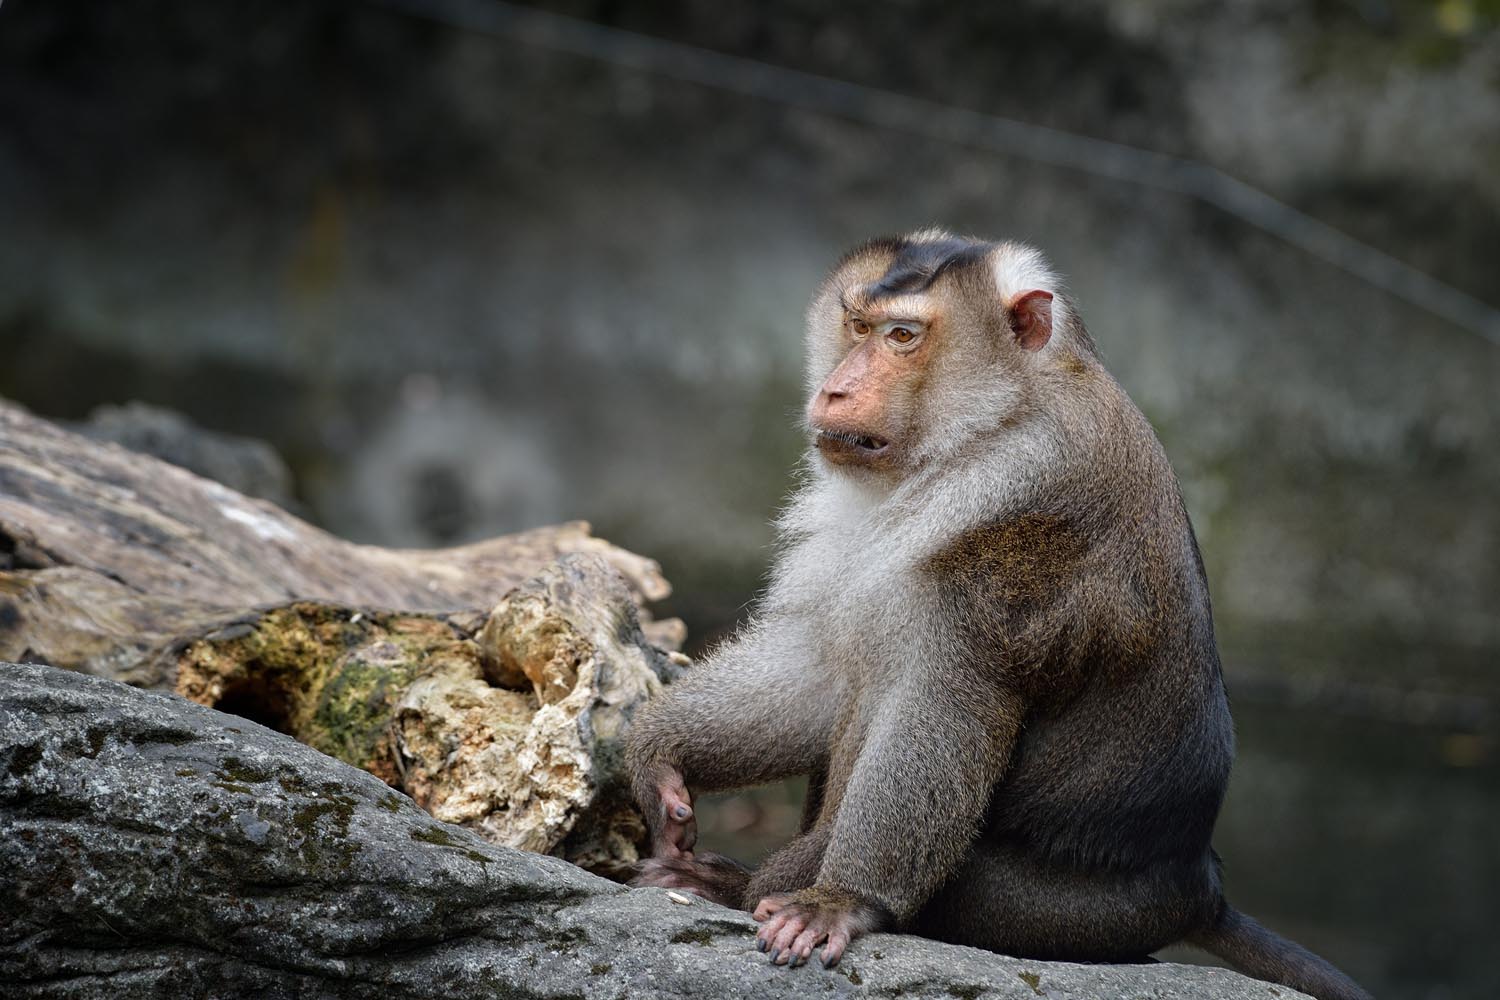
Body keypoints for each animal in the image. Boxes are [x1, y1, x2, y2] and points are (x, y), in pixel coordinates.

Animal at [624, 231, 1372, 1000]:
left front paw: (842, 902)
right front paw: (659, 754)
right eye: (858, 327)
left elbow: (949, 696)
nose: (834, 388)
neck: (993, 420)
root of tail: (1197, 884)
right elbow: (823, 667)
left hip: (1065, 913)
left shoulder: (1015, 534)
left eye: (903, 337)